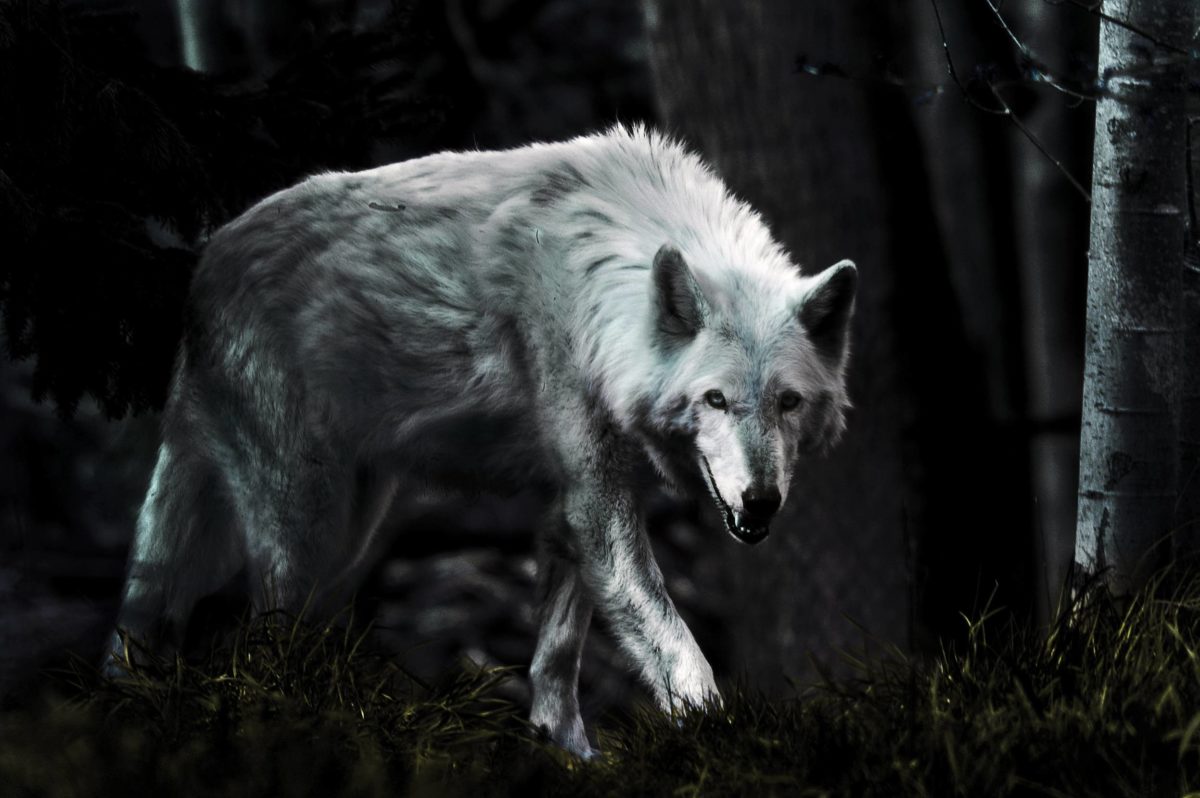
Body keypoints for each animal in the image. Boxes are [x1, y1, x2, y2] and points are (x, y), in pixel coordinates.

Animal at [104, 125, 857, 757]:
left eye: (788, 403)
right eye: (715, 400)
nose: (760, 502)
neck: (601, 284)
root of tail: (203, 268)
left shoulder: (572, 512)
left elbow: (555, 662)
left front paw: (565, 755)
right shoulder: (597, 507)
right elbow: (677, 646)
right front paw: (720, 743)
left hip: (353, 535)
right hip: (303, 531)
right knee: (259, 642)